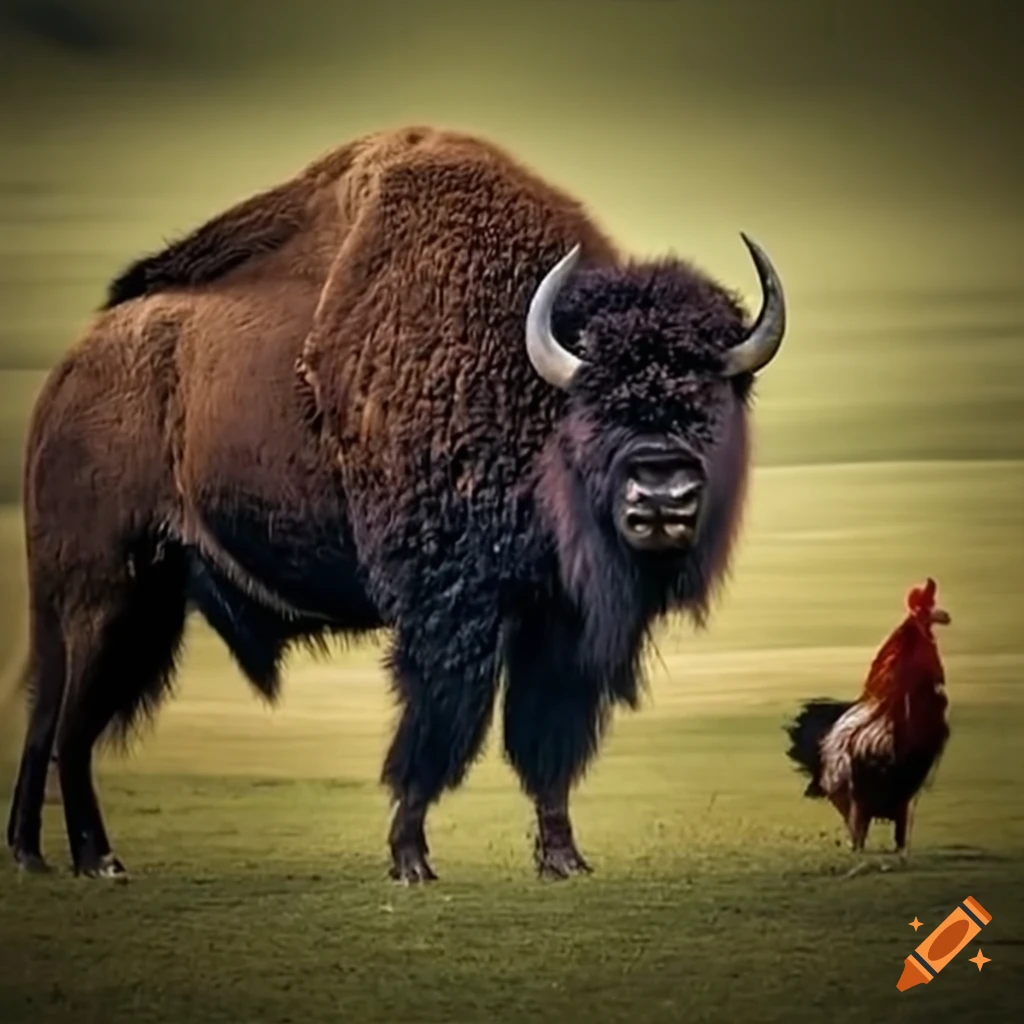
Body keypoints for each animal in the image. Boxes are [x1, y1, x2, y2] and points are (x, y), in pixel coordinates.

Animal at [5, 126, 786, 883]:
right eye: (593, 406)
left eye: (710, 402)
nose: (662, 494)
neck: (521, 375)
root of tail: (65, 376)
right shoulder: (448, 617)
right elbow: (435, 735)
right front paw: (411, 861)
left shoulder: (557, 627)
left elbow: (546, 747)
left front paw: (564, 859)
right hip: (106, 597)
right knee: (72, 728)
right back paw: (98, 860)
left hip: (133, 603)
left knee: (46, 717)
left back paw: (30, 853)